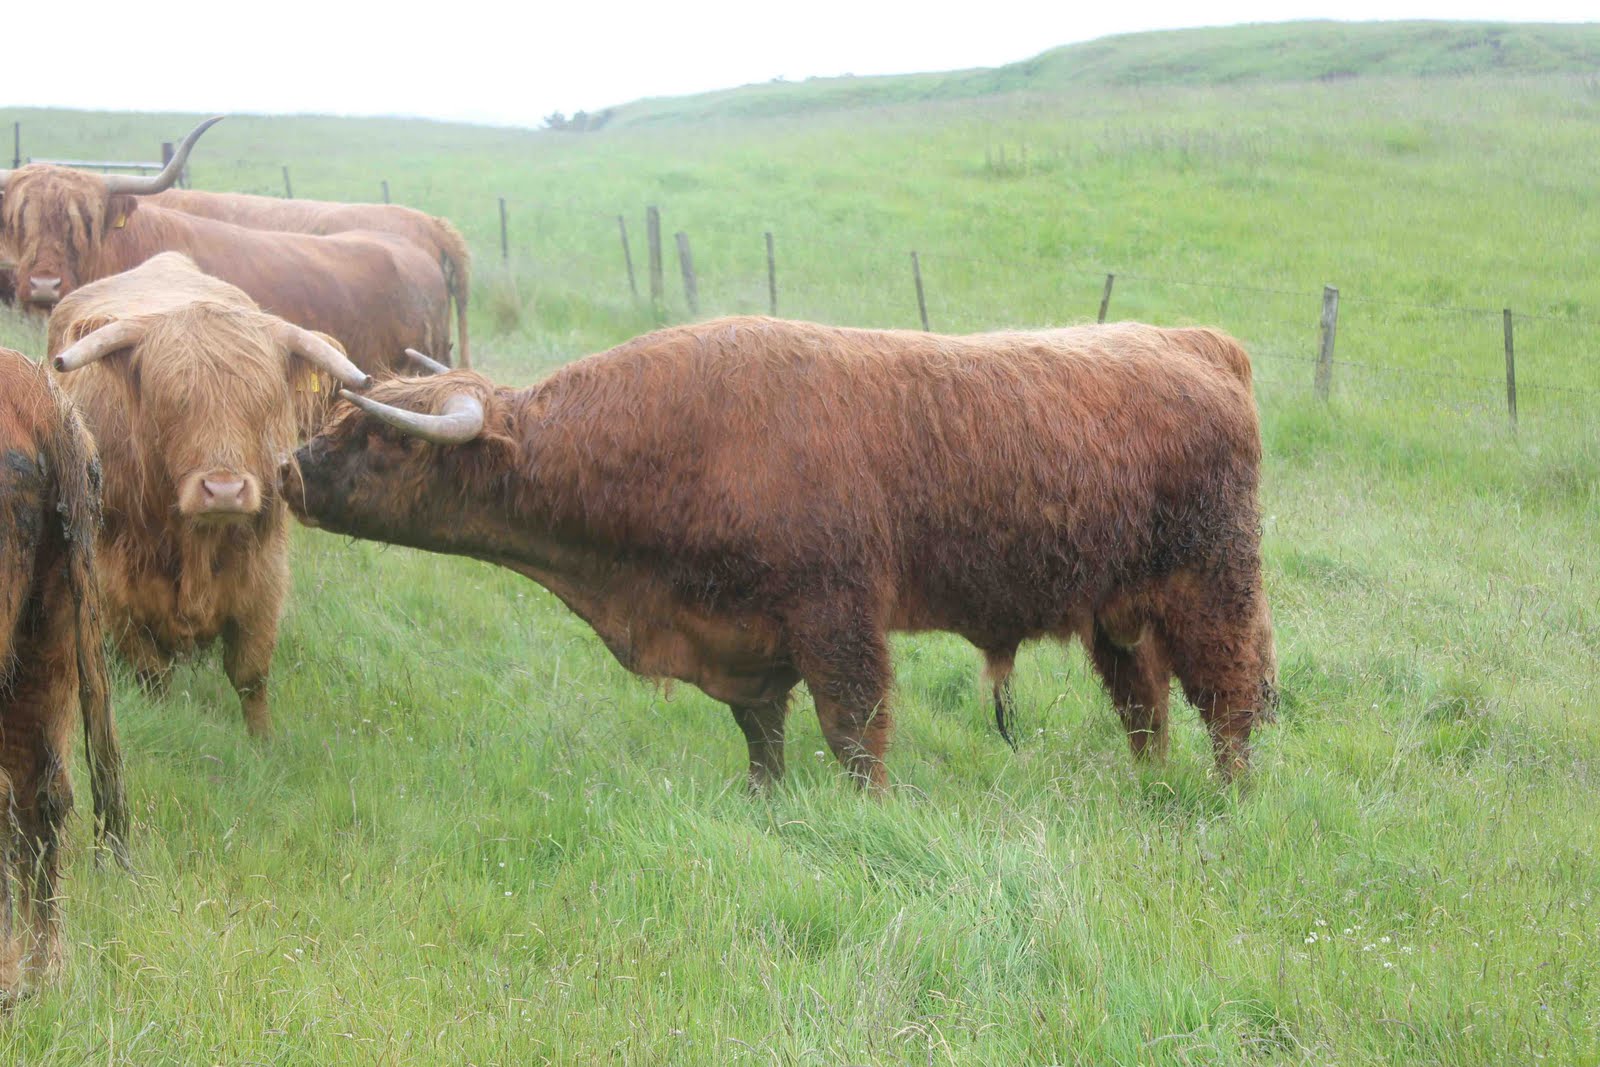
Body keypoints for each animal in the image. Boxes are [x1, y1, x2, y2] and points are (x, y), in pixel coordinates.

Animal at [48, 253, 372, 737]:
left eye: (265, 402)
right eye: (170, 402)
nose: (224, 491)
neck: (196, 542)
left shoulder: (263, 578)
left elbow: (251, 674)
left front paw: (262, 742)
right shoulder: (115, 586)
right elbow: (152, 674)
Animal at [284, 316, 1277, 791]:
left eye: (380, 440)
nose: (290, 468)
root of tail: (1196, 342)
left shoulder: (834, 614)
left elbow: (854, 729)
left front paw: (868, 811)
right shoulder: (744, 636)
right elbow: (761, 733)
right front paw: (766, 799)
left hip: (1212, 585)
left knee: (1230, 698)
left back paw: (1227, 797)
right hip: (1119, 610)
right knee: (1145, 707)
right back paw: (1148, 783)